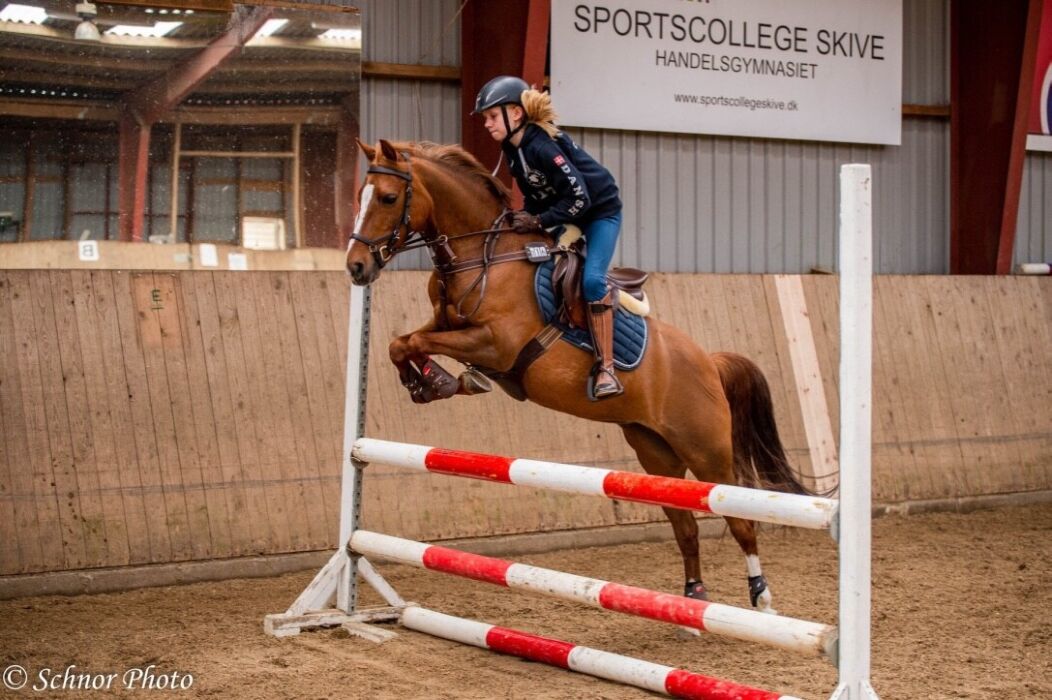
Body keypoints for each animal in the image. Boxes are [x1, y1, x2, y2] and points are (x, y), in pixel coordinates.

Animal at [346, 138, 812, 613]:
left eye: (388, 198)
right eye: (360, 197)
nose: (357, 267)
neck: (484, 253)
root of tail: (709, 362)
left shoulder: (495, 344)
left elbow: (418, 343)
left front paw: (442, 380)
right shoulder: (446, 325)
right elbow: (401, 342)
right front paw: (429, 382)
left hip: (707, 451)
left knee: (740, 520)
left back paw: (761, 598)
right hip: (655, 453)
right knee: (686, 528)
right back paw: (692, 601)